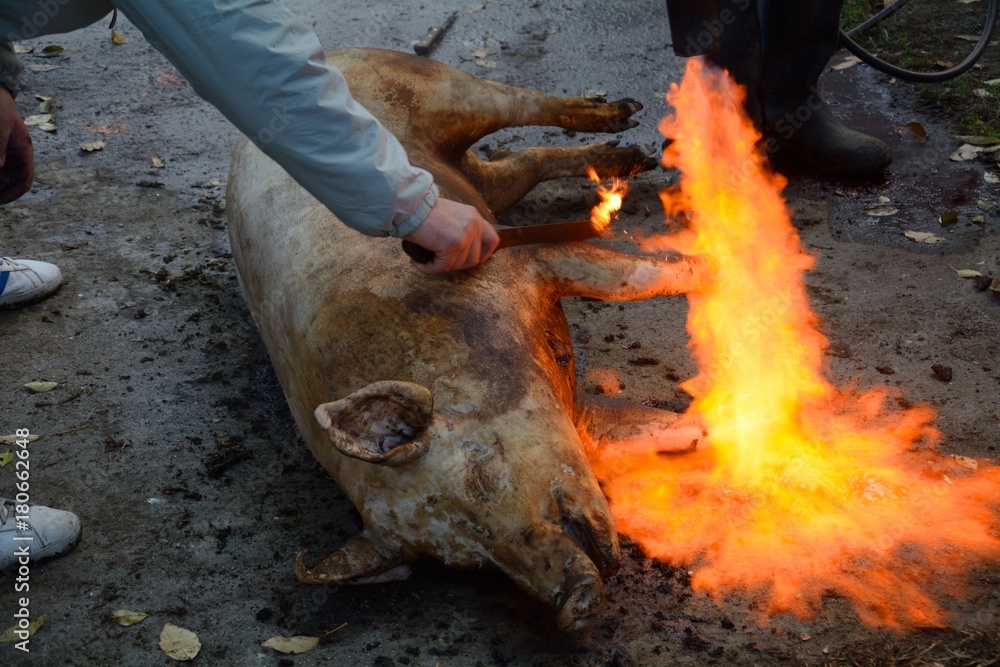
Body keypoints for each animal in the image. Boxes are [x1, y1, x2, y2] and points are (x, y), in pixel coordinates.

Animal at [226, 48, 703, 631]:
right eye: (471, 561)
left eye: (479, 477)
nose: (573, 604)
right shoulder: (576, 417)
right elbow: (653, 428)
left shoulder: (526, 262)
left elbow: (637, 276)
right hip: (481, 179)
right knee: (518, 163)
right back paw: (627, 156)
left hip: (436, 90)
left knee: (519, 102)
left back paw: (626, 121)